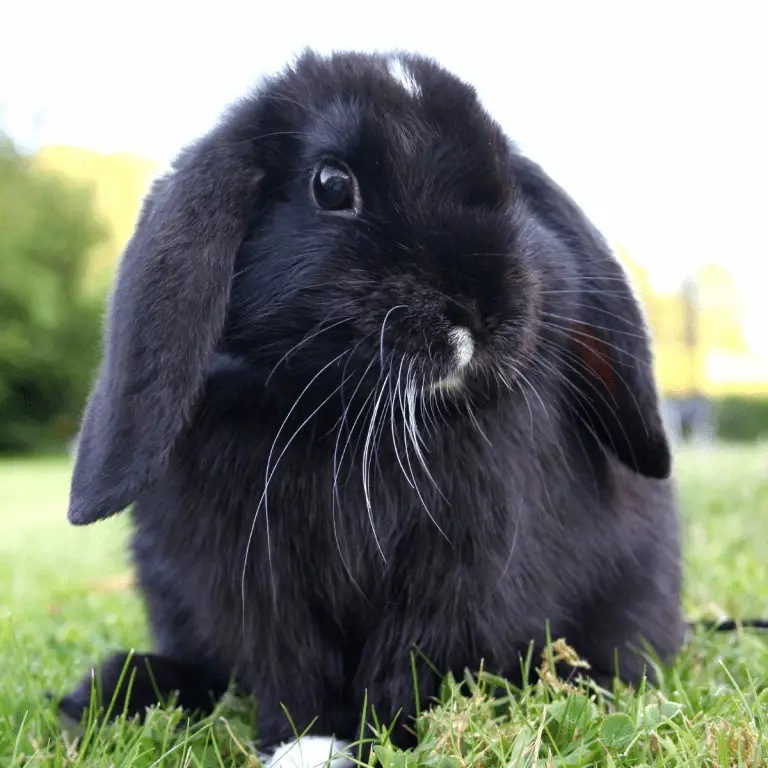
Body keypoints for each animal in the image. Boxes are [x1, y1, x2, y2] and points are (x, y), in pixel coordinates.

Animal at [55, 49, 685, 767]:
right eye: (332, 185)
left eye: (510, 186)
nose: (482, 306)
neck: (346, 419)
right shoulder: (254, 575)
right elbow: (289, 664)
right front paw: (304, 742)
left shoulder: (464, 573)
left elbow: (412, 663)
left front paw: (384, 739)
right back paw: (110, 691)